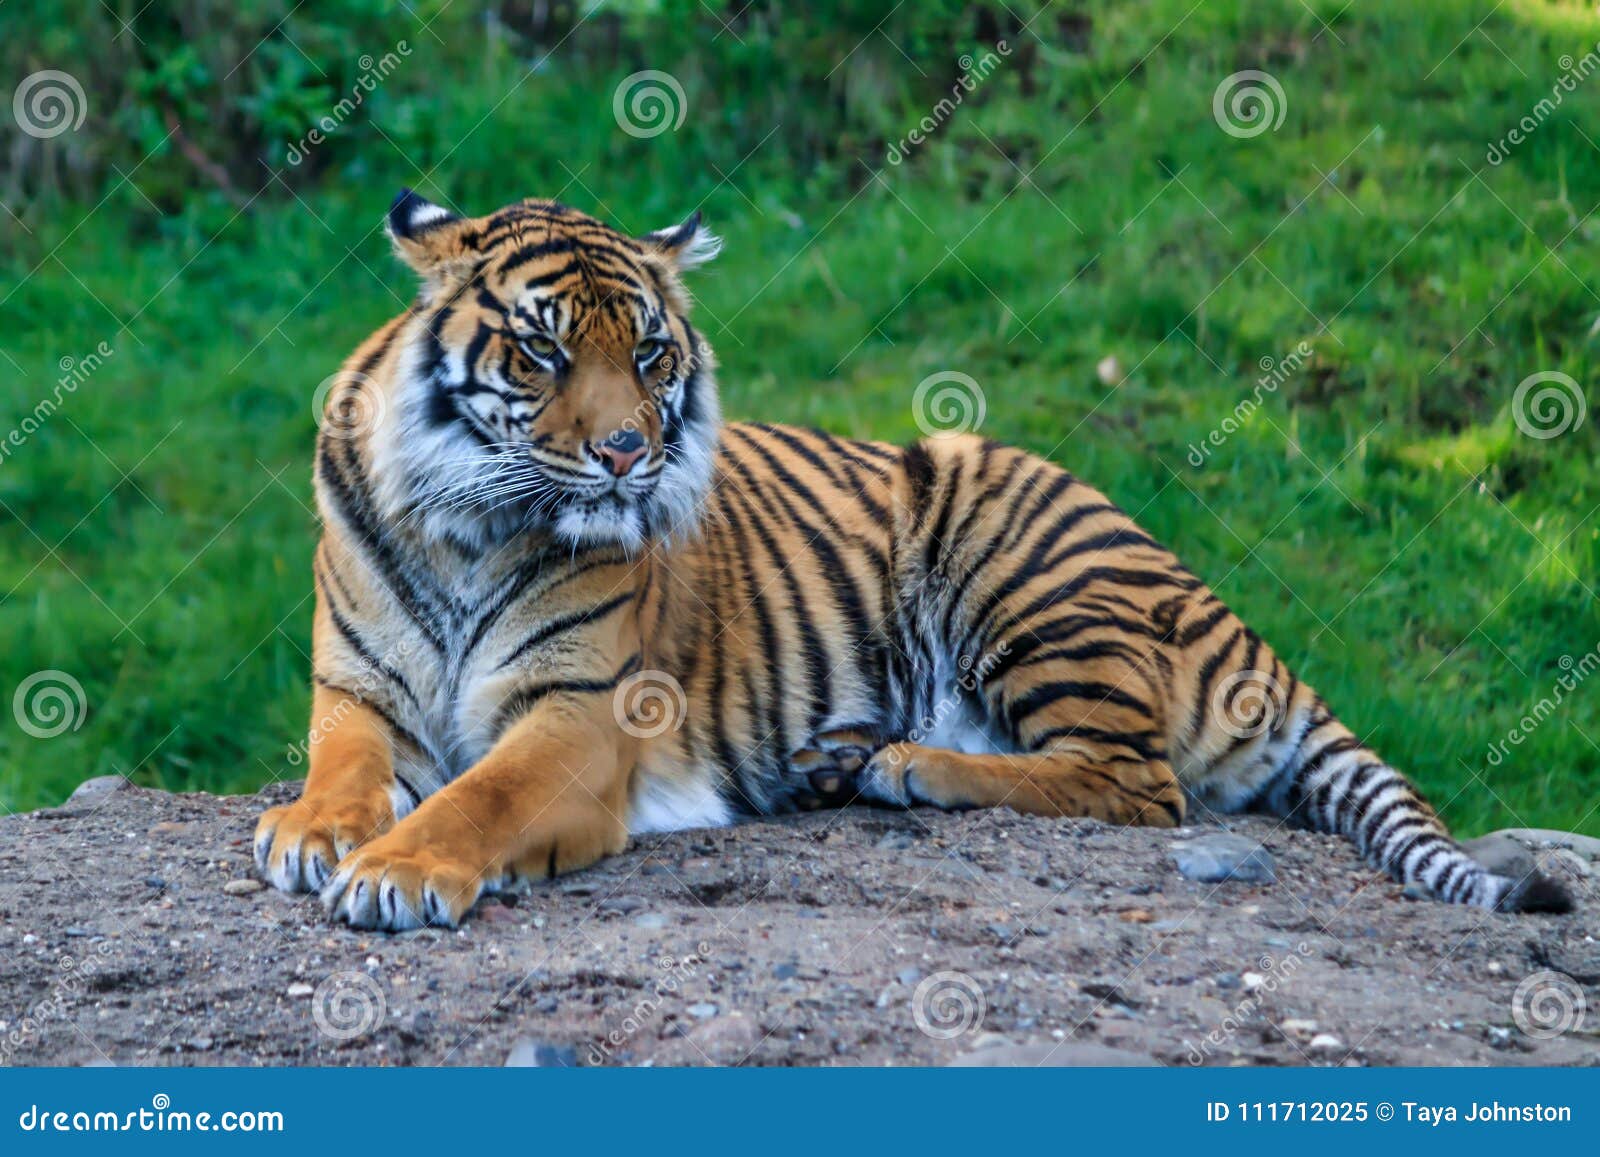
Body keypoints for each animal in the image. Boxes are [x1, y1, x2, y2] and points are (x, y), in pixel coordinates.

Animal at [253, 189, 1573, 931]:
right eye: (538, 353)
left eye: (648, 352)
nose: (630, 455)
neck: (468, 525)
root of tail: (1231, 616)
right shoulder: (359, 690)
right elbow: (340, 765)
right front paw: (312, 831)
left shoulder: (580, 714)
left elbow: (482, 794)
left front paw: (395, 870)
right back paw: (842, 762)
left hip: (1004, 541)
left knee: (1134, 780)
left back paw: (898, 766)